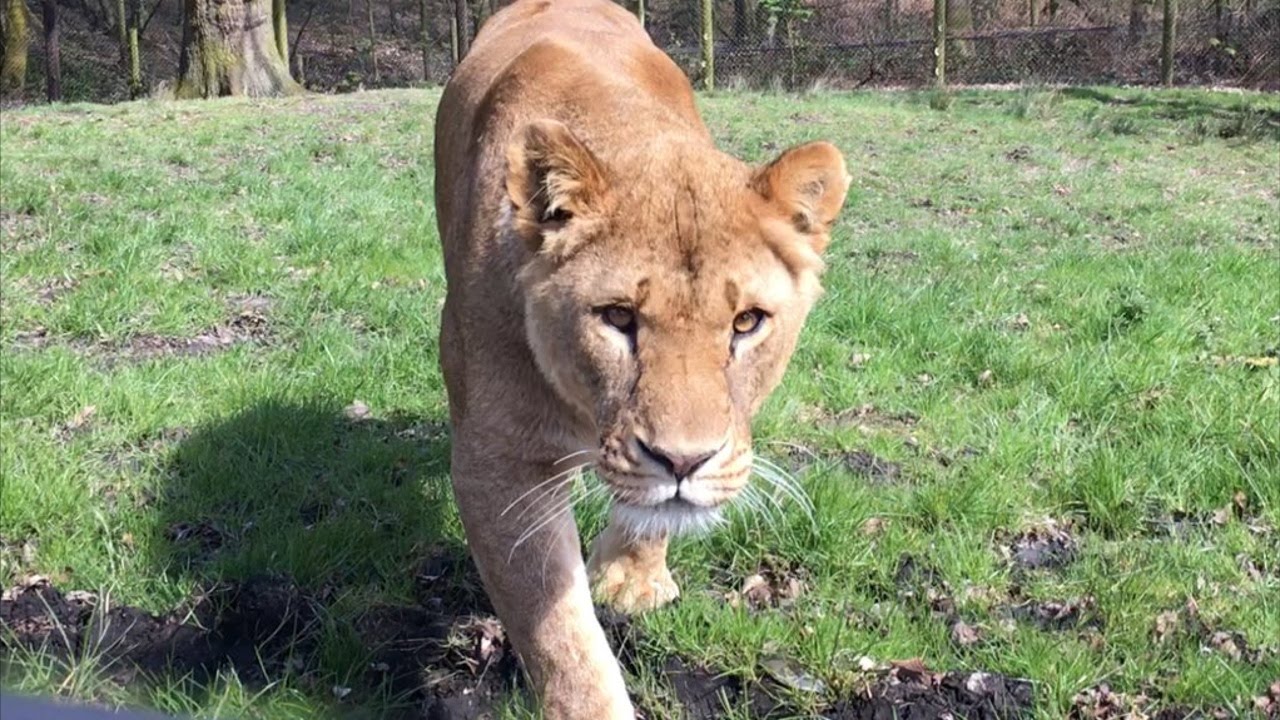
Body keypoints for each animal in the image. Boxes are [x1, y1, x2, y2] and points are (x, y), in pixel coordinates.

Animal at [432, 0, 850, 716]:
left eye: (746, 323)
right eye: (618, 317)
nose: (683, 461)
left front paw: (632, 578)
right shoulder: (498, 462)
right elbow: (561, 638)